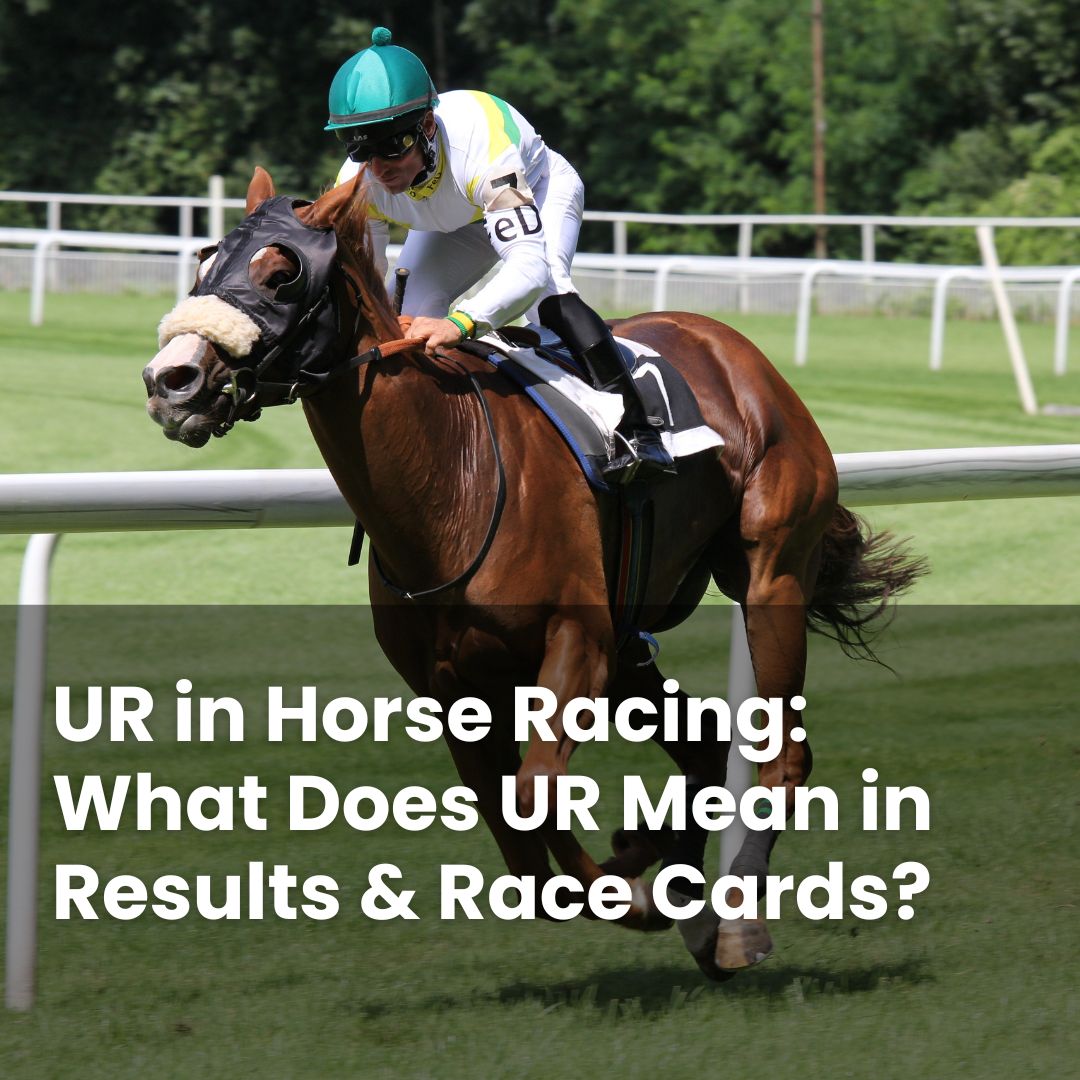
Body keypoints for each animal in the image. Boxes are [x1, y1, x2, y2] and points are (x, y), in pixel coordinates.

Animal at [143, 167, 924, 979]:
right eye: (204, 263)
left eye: (281, 273)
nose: (172, 380)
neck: (449, 481)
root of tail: (737, 349)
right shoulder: (453, 687)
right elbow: (521, 847)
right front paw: (635, 877)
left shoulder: (575, 643)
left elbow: (533, 795)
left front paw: (632, 891)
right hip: (630, 648)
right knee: (707, 744)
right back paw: (680, 884)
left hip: (769, 578)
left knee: (783, 757)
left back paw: (732, 921)